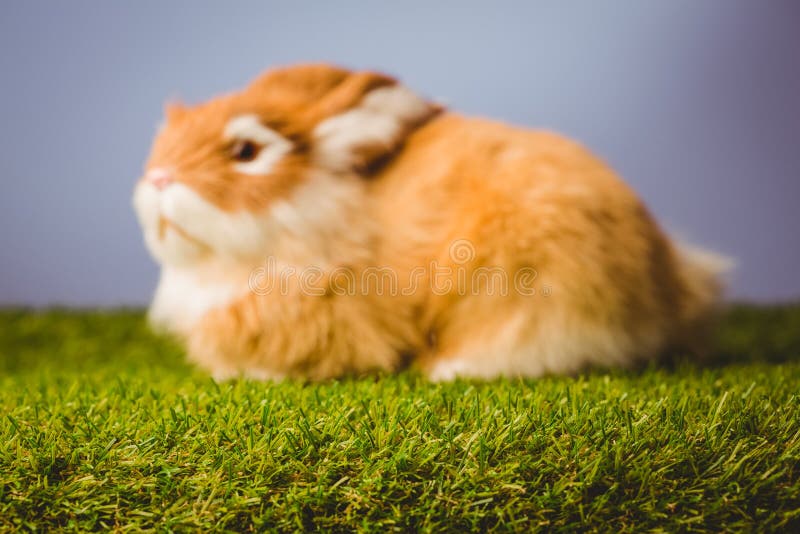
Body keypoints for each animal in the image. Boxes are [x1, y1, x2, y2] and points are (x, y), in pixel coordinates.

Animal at [132, 63, 729, 381]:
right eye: (166, 138)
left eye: (247, 151)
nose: (158, 177)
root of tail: (667, 287)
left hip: (531, 296)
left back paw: (447, 370)